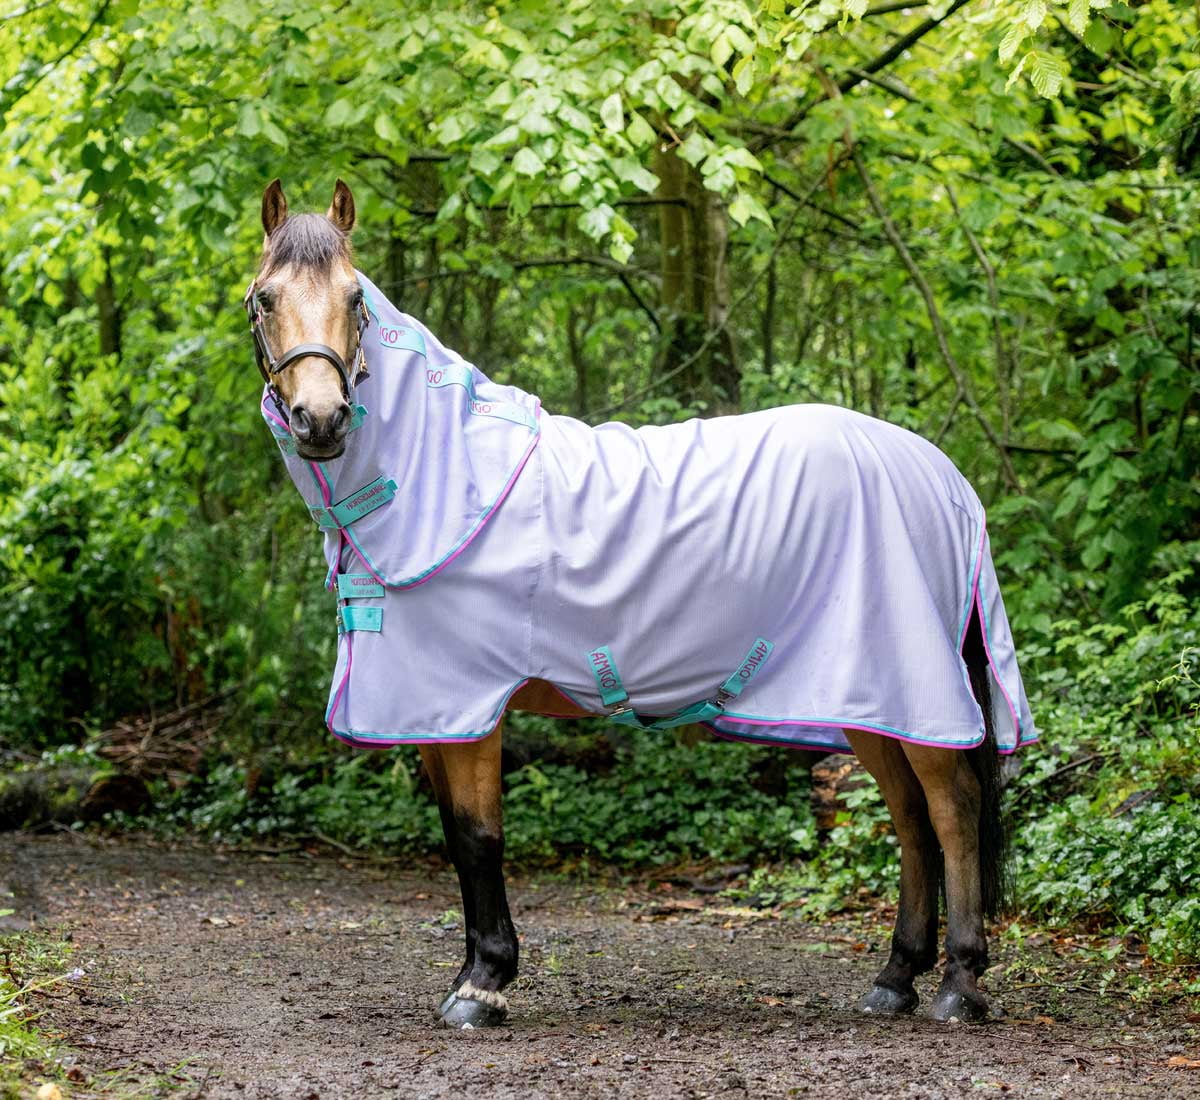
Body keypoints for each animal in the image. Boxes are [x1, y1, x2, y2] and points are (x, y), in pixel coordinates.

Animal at [242, 179, 1036, 1031]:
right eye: (265, 298)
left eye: (356, 299)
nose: (321, 420)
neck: (449, 475)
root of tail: (942, 476)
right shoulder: (431, 713)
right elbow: (457, 838)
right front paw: (473, 972)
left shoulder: (469, 705)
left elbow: (481, 836)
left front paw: (483, 984)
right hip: (868, 699)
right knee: (911, 819)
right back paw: (895, 977)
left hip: (915, 690)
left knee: (952, 809)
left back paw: (959, 984)